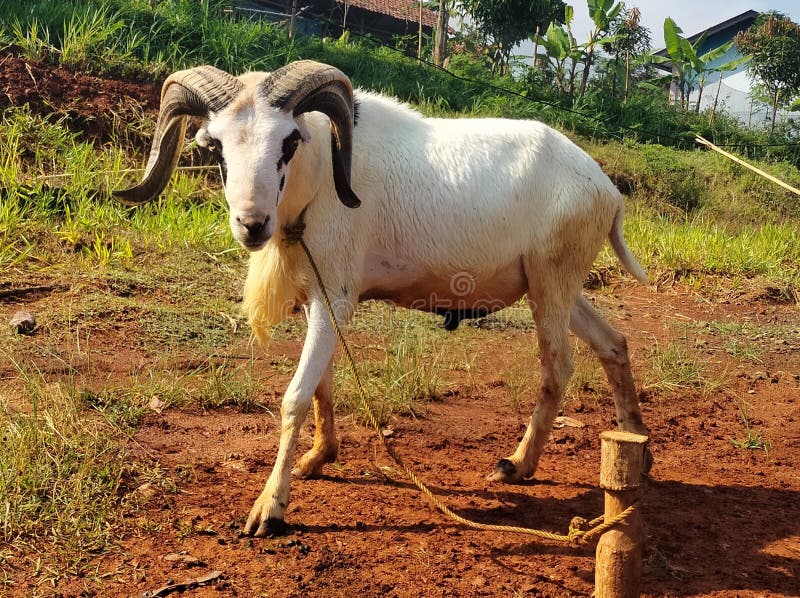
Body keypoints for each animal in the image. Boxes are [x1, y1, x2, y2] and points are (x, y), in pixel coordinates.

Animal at [116, 60, 651, 538]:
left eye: (289, 141)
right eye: (217, 145)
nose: (252, 224)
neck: (322, 178)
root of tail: (608, 190)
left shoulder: (336, 296)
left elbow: (295, 396)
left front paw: (269, 509)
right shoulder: (318, 297)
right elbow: (323, 385)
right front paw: (319, 457)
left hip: (551, 282)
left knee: (558, 367)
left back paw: (518, 465)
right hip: (555, 286)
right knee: (614, 343)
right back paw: (638, 449)